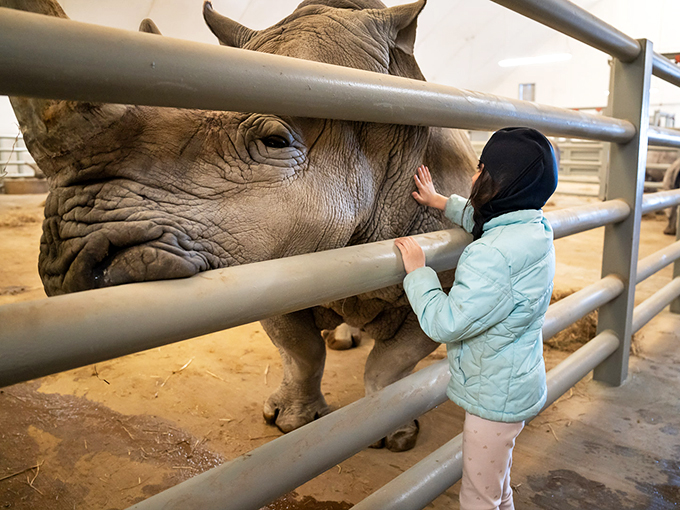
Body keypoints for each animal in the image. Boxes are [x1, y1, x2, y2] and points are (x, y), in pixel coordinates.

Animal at [4, 0, 476, 451]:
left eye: (275, 141)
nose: (66, 265)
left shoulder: (446, 270)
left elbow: (391, 362)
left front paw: (393, 432)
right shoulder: (270, 257)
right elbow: (301, 351)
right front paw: (289, 421)